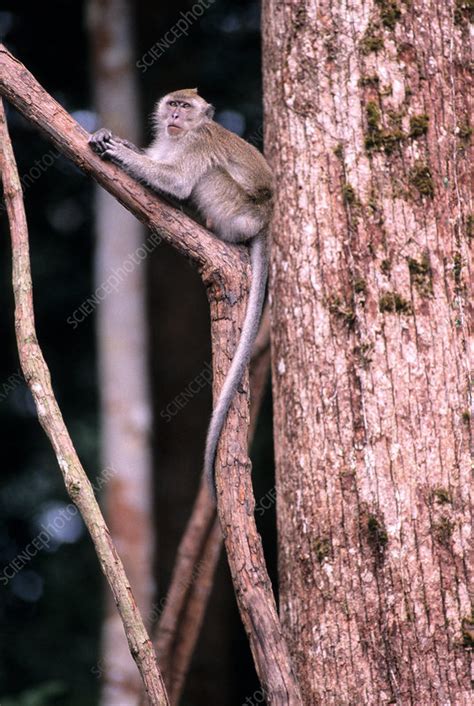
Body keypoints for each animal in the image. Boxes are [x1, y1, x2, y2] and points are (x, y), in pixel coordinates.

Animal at [89, 88, 273, 496]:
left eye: (184, 107)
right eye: (172, 104)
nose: (173, 115)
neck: (184, 133)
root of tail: (265, 223)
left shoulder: (196, 144)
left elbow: (178, 180)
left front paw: (123, 154)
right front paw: (113, 138)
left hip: (235, 209)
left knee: (205, 178)